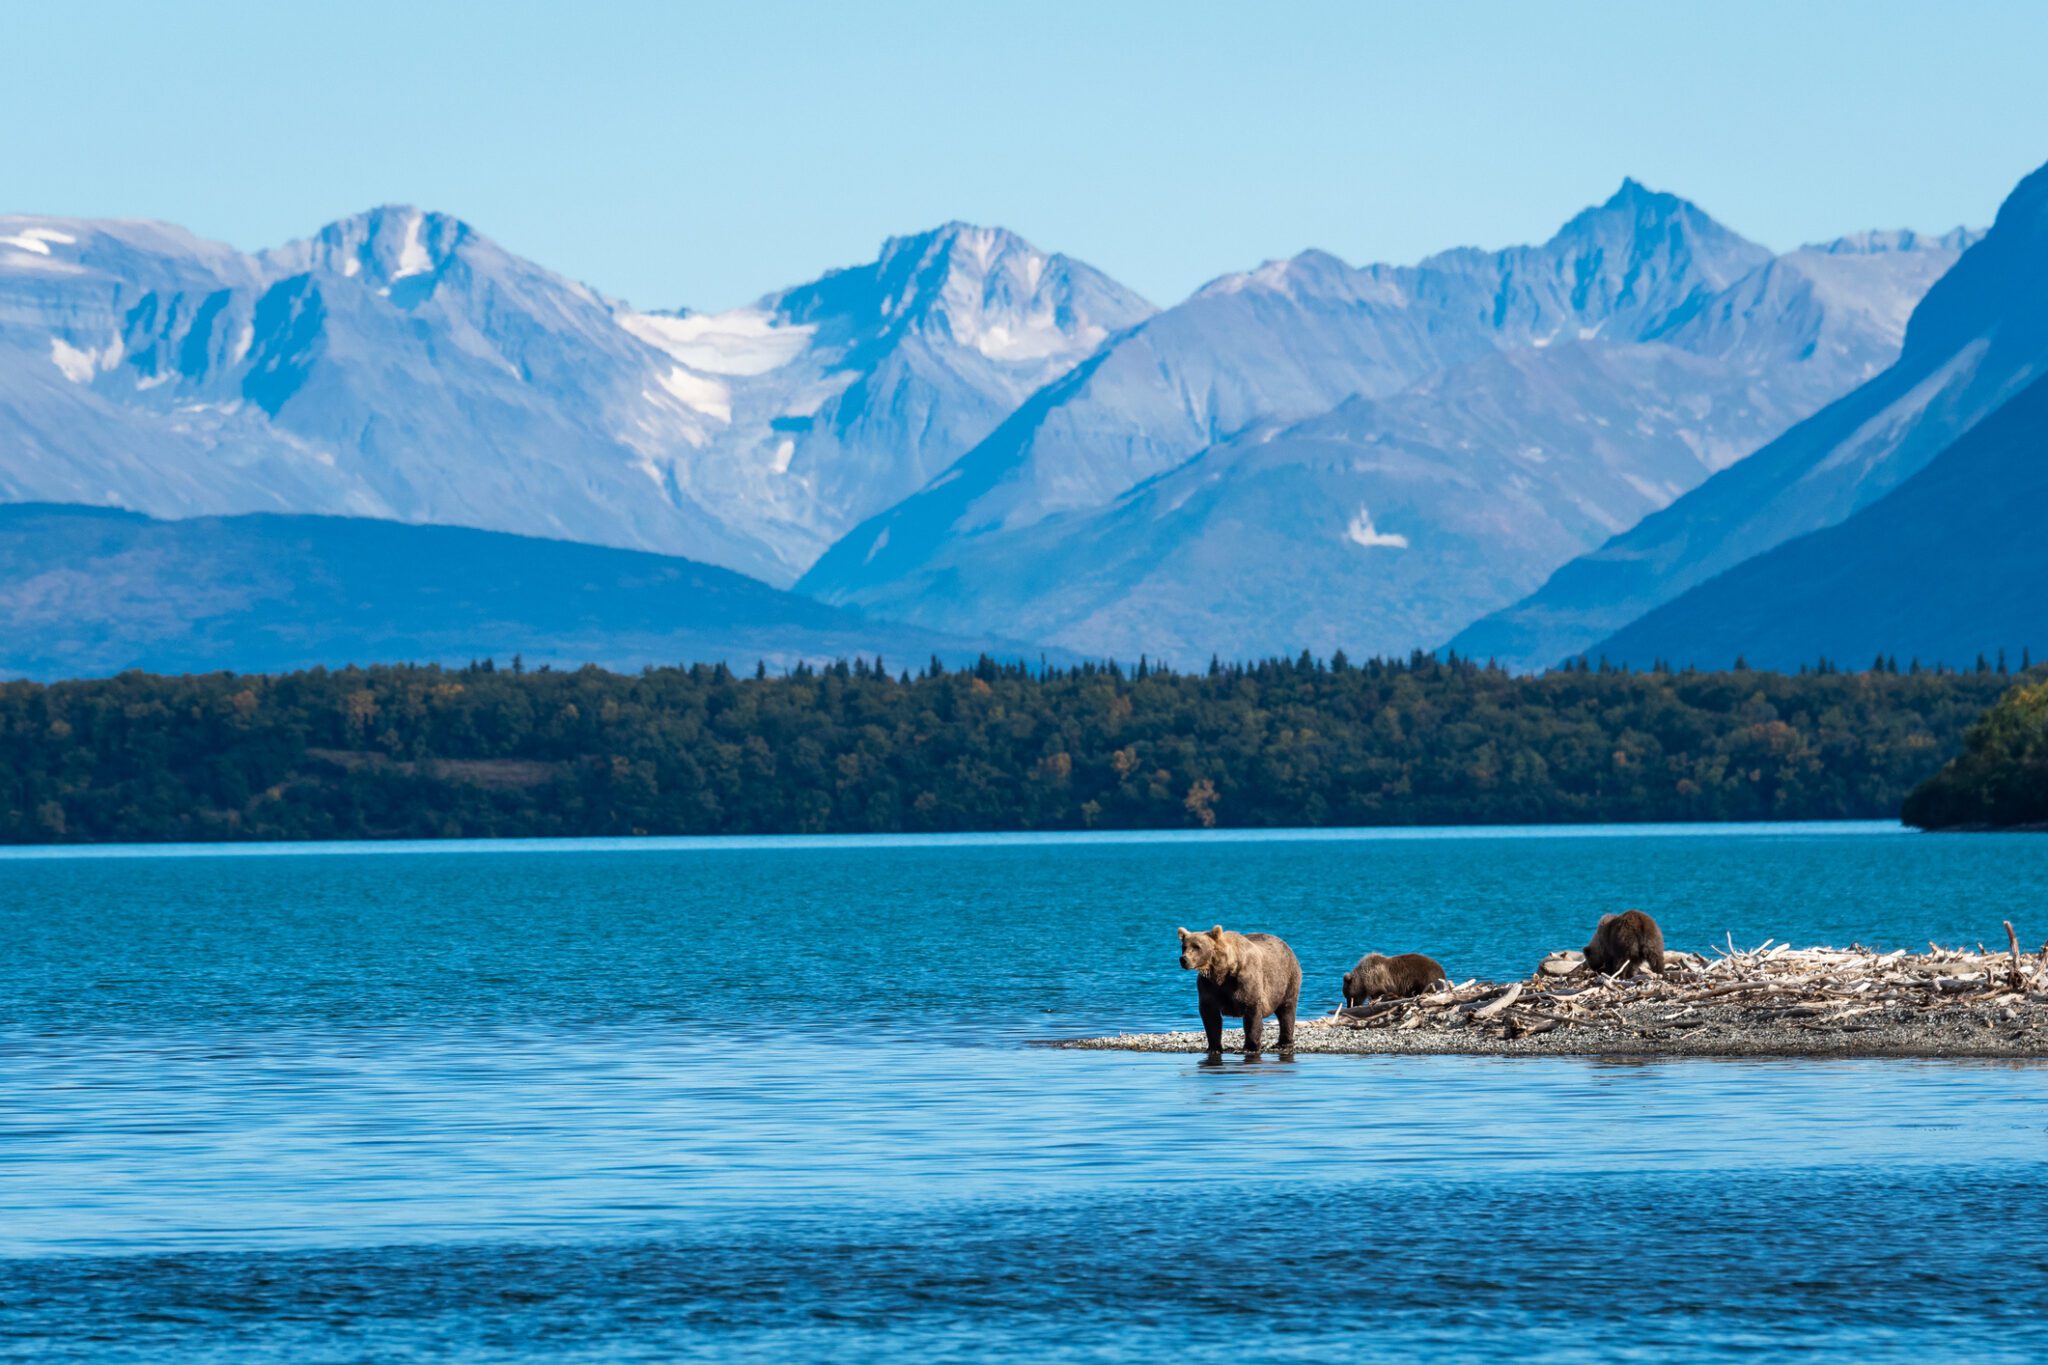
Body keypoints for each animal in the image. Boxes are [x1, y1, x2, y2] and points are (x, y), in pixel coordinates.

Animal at [1177, 925, 1302, 1053]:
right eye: (1184, 947)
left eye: (1197, 946)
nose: (1183, 959)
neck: (1222, 971)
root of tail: (1285, 944)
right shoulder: (1208, 985)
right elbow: (1211, 1016)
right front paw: (1214, 1048)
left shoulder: (1245, 980)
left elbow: (1252, 1013)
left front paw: (1250, 1047)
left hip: (1287, 978)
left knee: (1287, 1010)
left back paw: (1283, 1044)